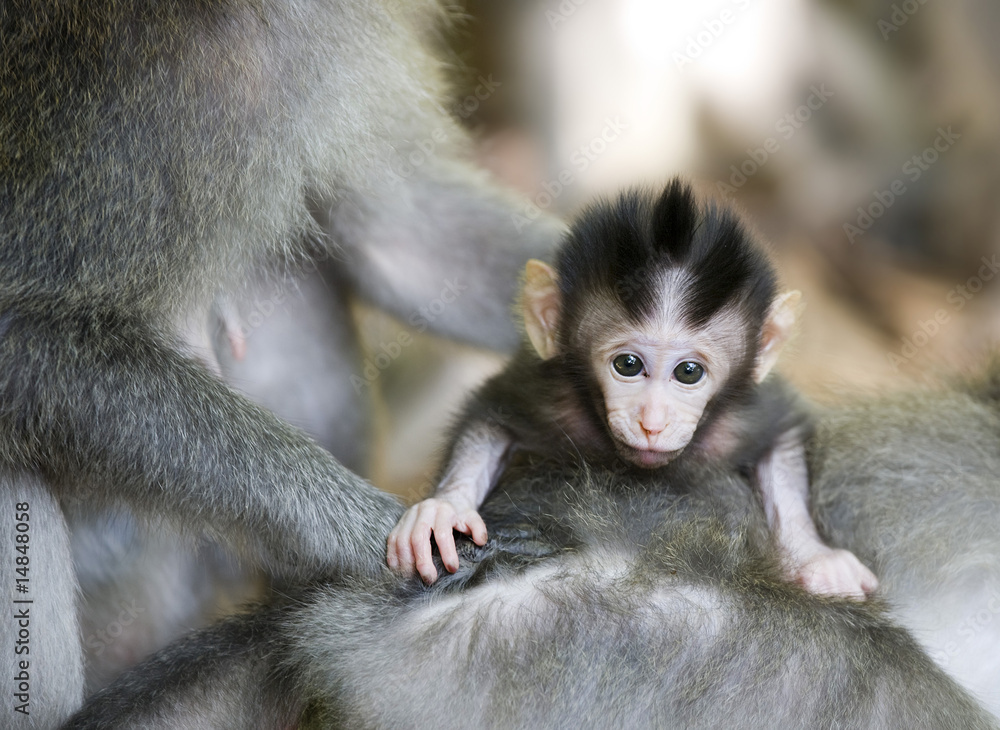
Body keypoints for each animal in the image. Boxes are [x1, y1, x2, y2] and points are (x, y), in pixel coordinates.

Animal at [387, 180, 878, 600]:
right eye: (628, 365)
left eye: (688, 372)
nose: (652, 423)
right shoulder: (554, 398)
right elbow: (491, 417)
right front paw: (443, 510)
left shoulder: (743, 419)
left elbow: (782, 440)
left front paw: (817, 557)